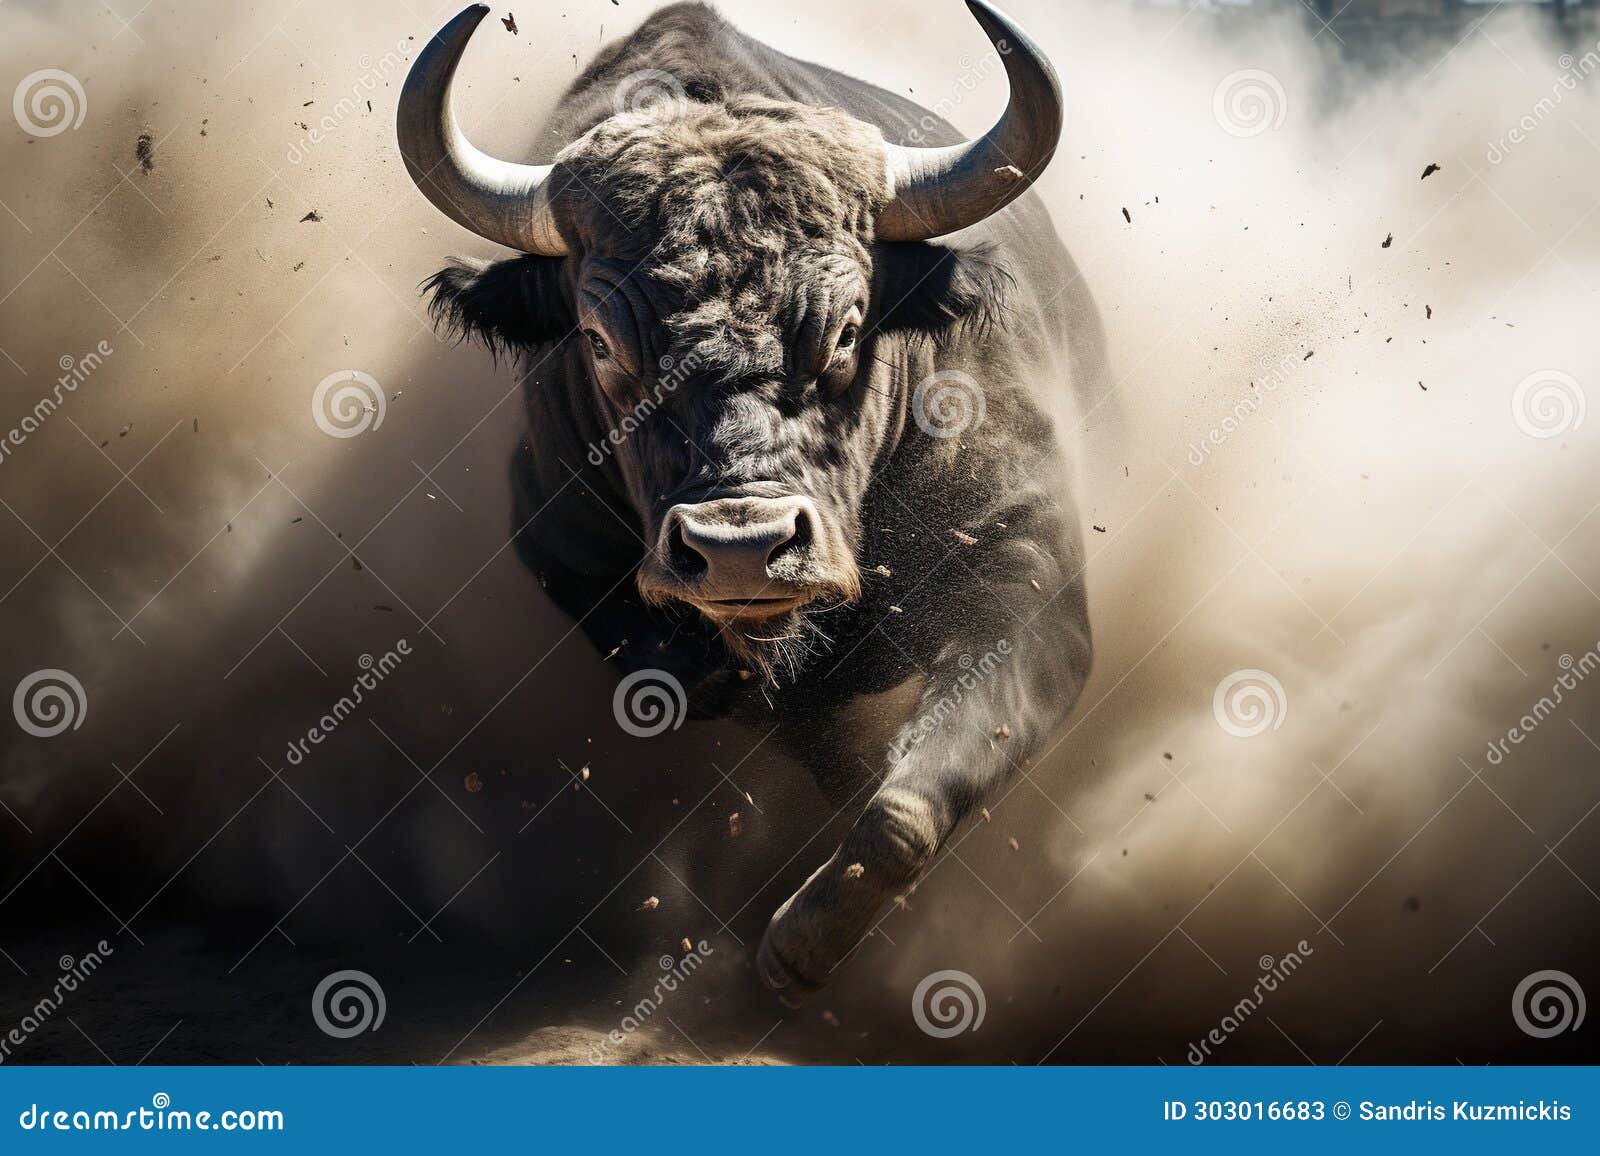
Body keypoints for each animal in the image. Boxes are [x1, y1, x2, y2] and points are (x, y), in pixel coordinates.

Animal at [399, 1, 1104, 1000]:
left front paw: (800, 945)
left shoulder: (1029, 571)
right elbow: (770, 714)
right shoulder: (568, 561)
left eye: (848, 329)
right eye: (599, 341)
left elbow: (906, 804)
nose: (740, 547)